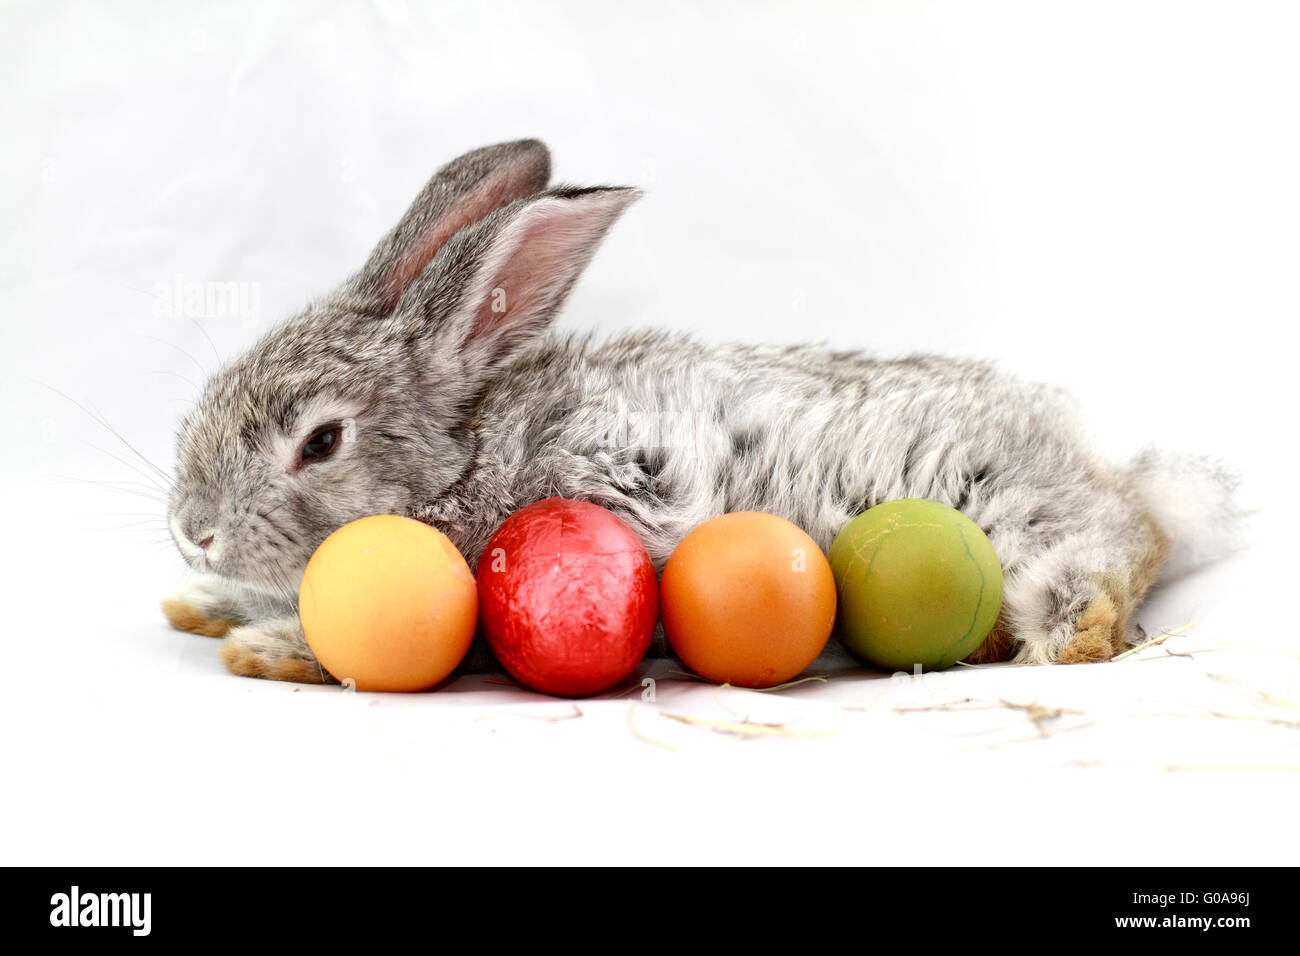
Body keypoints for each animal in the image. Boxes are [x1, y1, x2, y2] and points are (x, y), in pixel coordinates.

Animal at [161, 138, 1241, 683]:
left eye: (321, 441)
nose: (192, 532)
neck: (459, 462)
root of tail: (1100, 461)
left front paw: (266, 648)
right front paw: (201, 607)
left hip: (997, 499)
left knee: (1116, 538)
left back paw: (1071, 627)